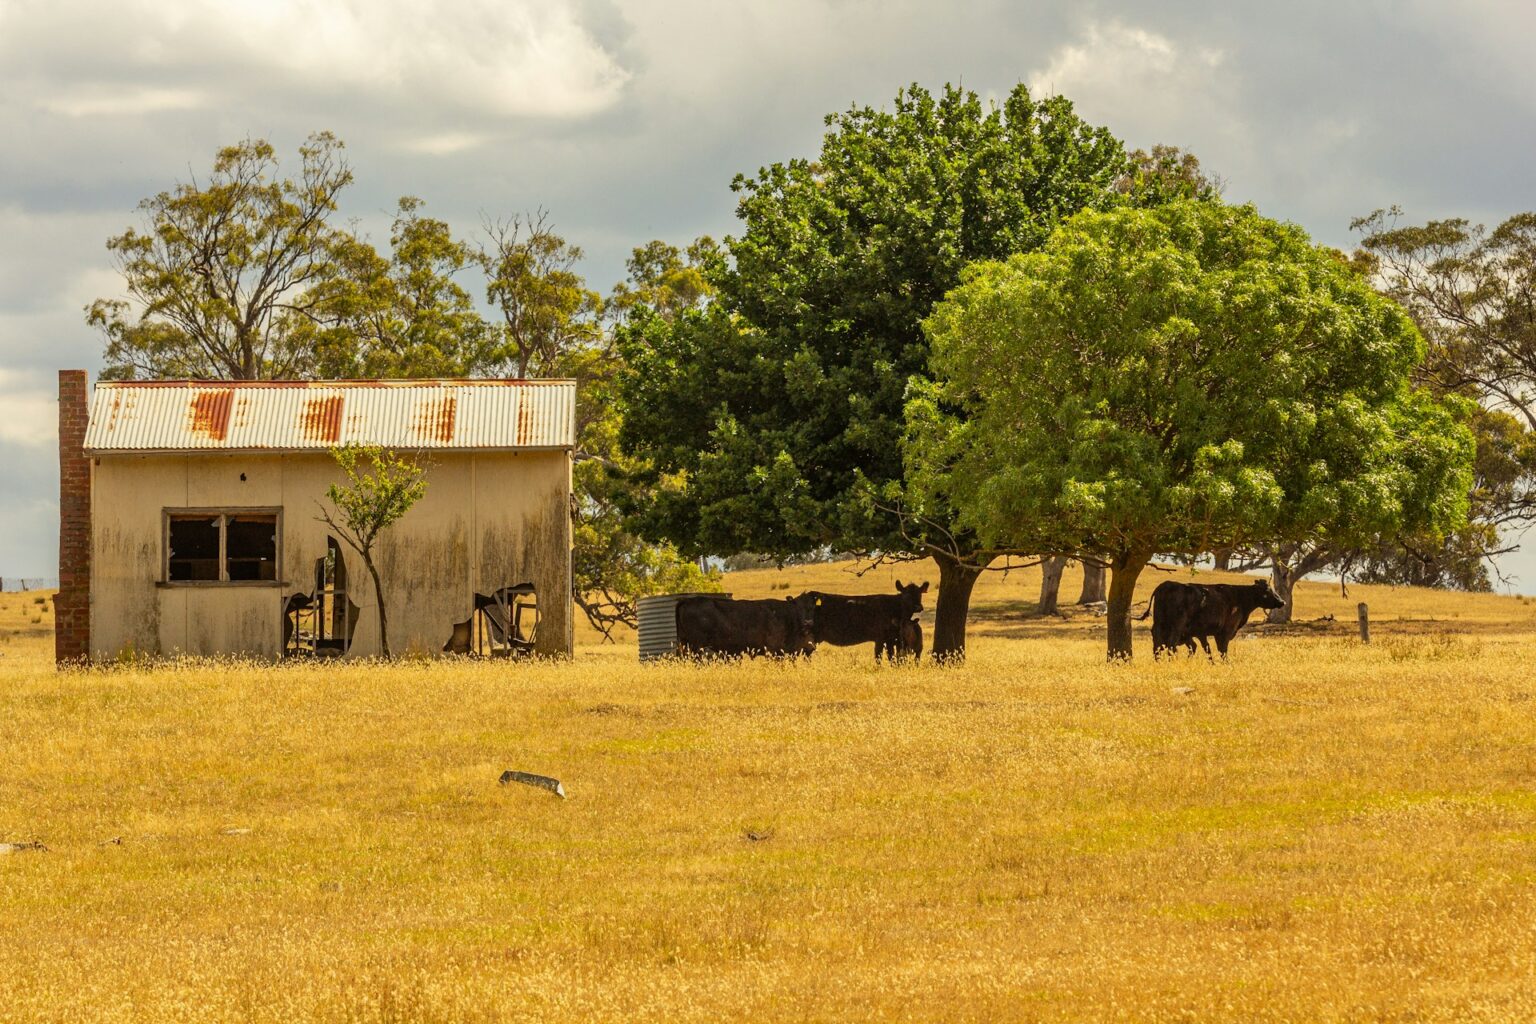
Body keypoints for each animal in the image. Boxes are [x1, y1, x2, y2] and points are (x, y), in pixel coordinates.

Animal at [674, 594, 818, 659]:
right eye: (797, 608)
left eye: (811, 608)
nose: (808, 622)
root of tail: (688, 600)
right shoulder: (773, 650)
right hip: (696, 646)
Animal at [1137, 579, 1285, 660]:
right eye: (1268, 591)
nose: (1282, 601)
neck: (1240, 597)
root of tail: (1165, 585)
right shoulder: (1225, 631)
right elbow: (1222, 650)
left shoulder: (1203, 633)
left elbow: (1208, 649)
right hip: (1176, 626)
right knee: (1171, 644)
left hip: (1159, 624)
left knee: (1157, 644)